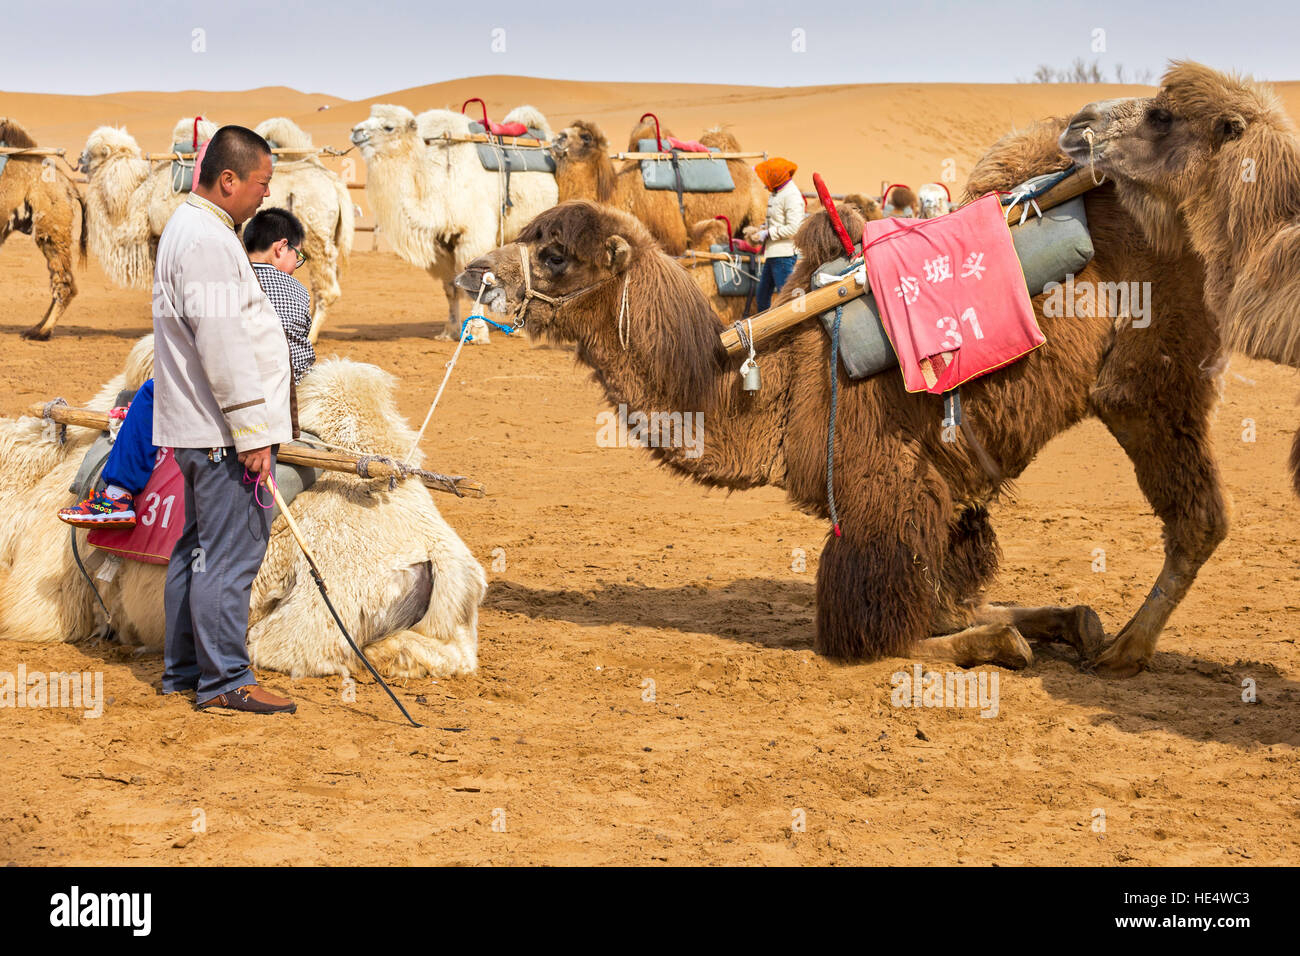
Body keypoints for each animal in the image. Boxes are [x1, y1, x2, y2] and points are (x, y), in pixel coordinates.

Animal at [79, 117, 354, 342]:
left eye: (93, 152)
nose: (79, 160)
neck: (138, 194)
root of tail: (334, 183)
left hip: (316, 232)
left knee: (327, 289)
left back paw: (312, 336)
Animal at [349, 103, 558, 340]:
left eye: (389, 127)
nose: (356, 132)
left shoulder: (472, 236)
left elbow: (478, 285)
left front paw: (477, 333)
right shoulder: (442, 245)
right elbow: (450, 288)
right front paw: (449, 331)